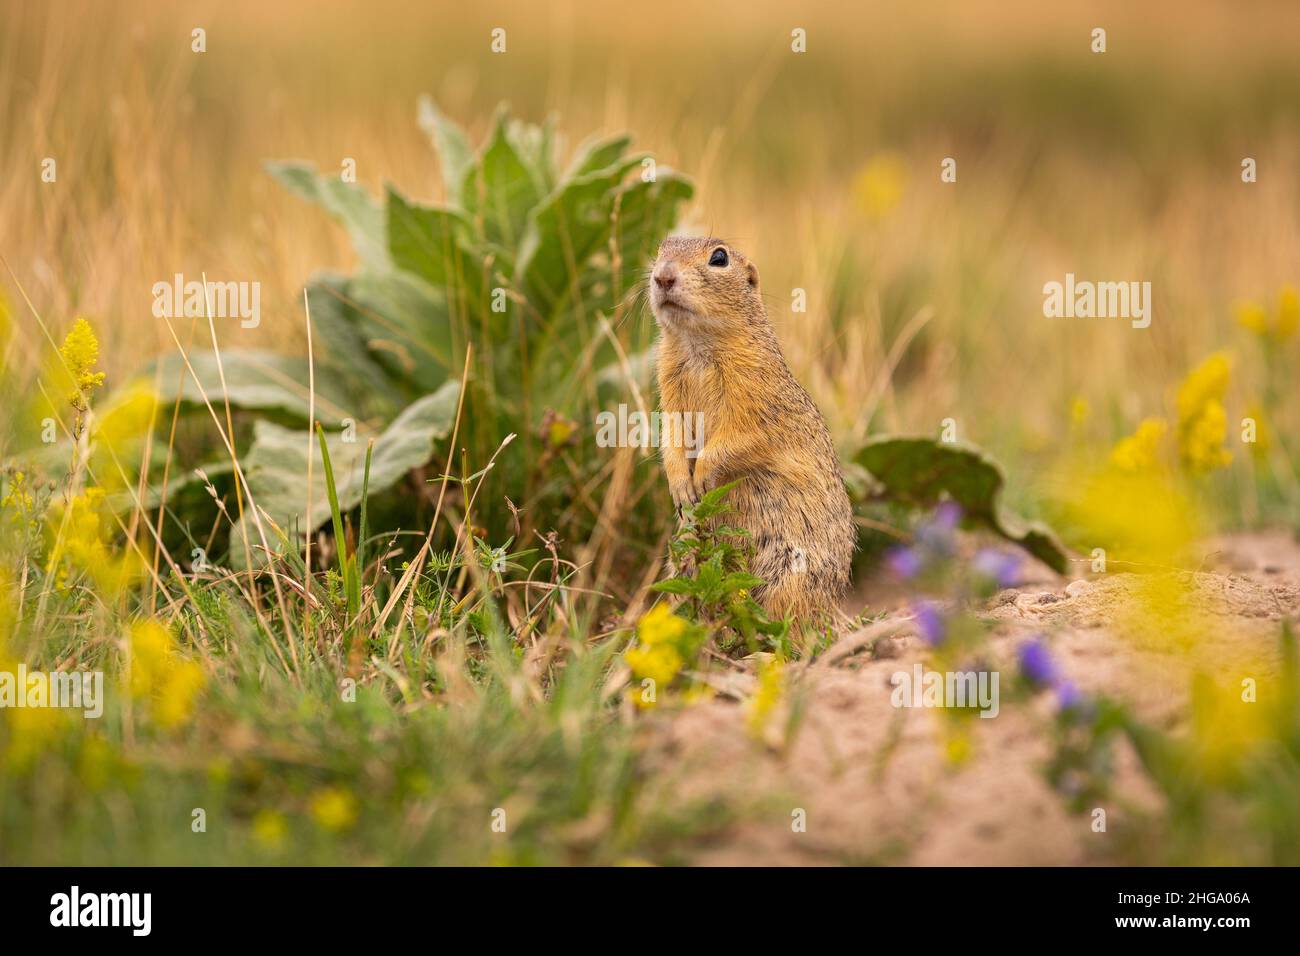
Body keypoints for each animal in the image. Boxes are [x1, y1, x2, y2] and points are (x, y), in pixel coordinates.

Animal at [649, 236, 856, 621]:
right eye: (660, 249)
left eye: (719, 257)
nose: (662, 276)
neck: (696, 344)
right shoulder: (669, 397)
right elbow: (671, 438)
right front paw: (681, 487)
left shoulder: (756, 401)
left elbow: (740, 440)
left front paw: (702, 476)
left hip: (790, 575)